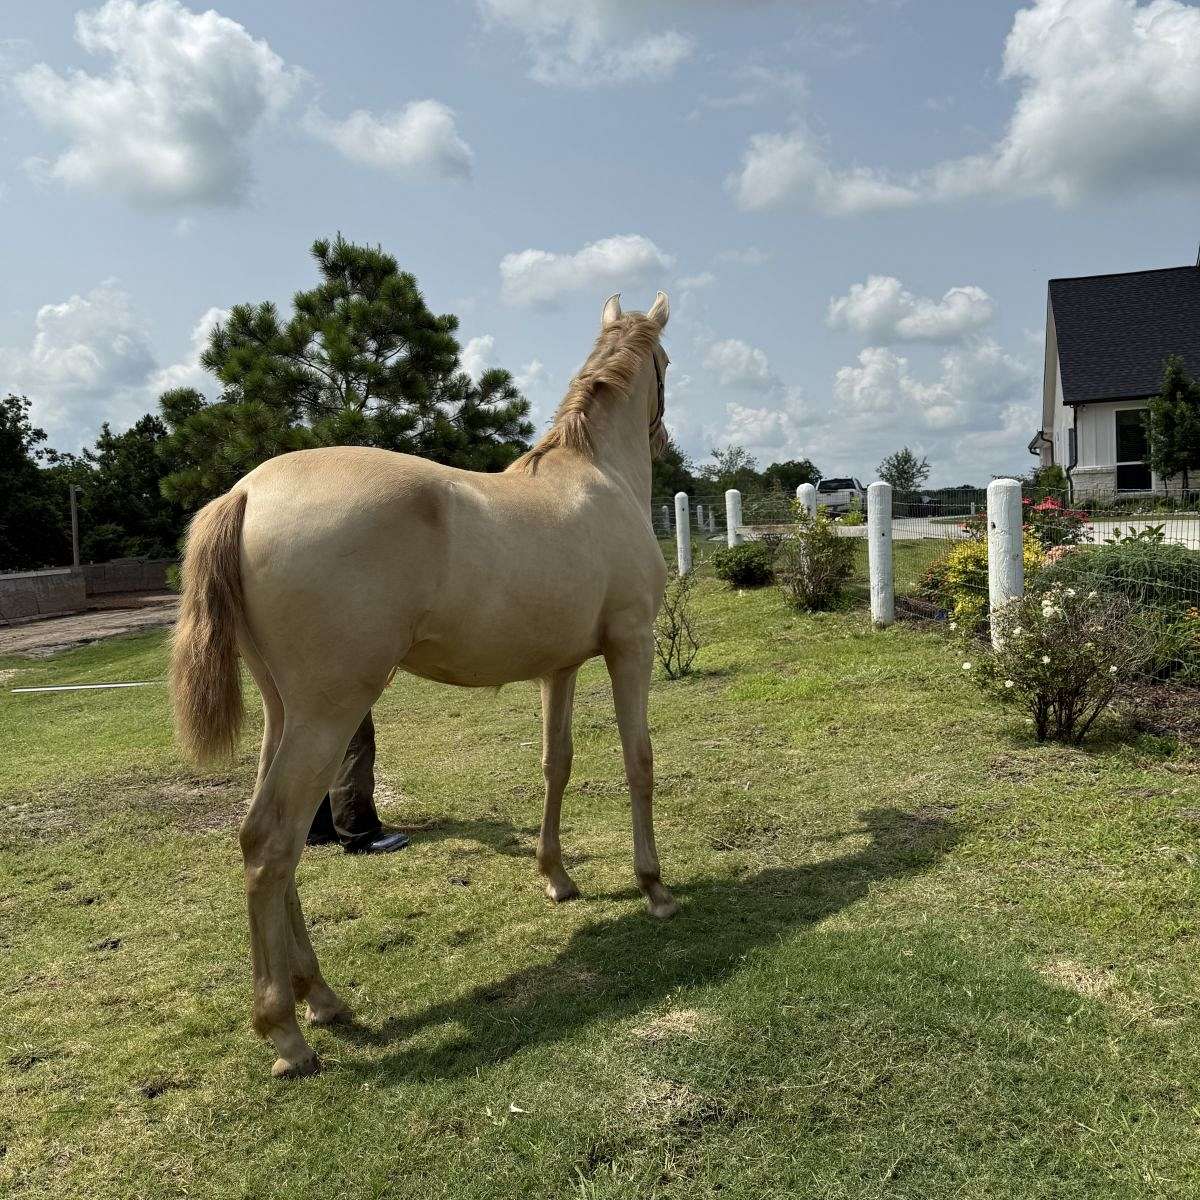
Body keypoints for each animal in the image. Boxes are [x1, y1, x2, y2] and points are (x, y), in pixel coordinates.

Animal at [170, 291, 676, 1077]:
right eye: (667, 364)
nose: (664, 442)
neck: (598, 478)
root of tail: (246, 492)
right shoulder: (631, 646)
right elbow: (638, 761)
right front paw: (654, 888)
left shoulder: (558, 668)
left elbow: (555, 765)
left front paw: (556, 877)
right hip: (329, 713)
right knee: (271, 842)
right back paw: (286, 1032)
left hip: (288, 713)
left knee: (273, 843)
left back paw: (323, 998)